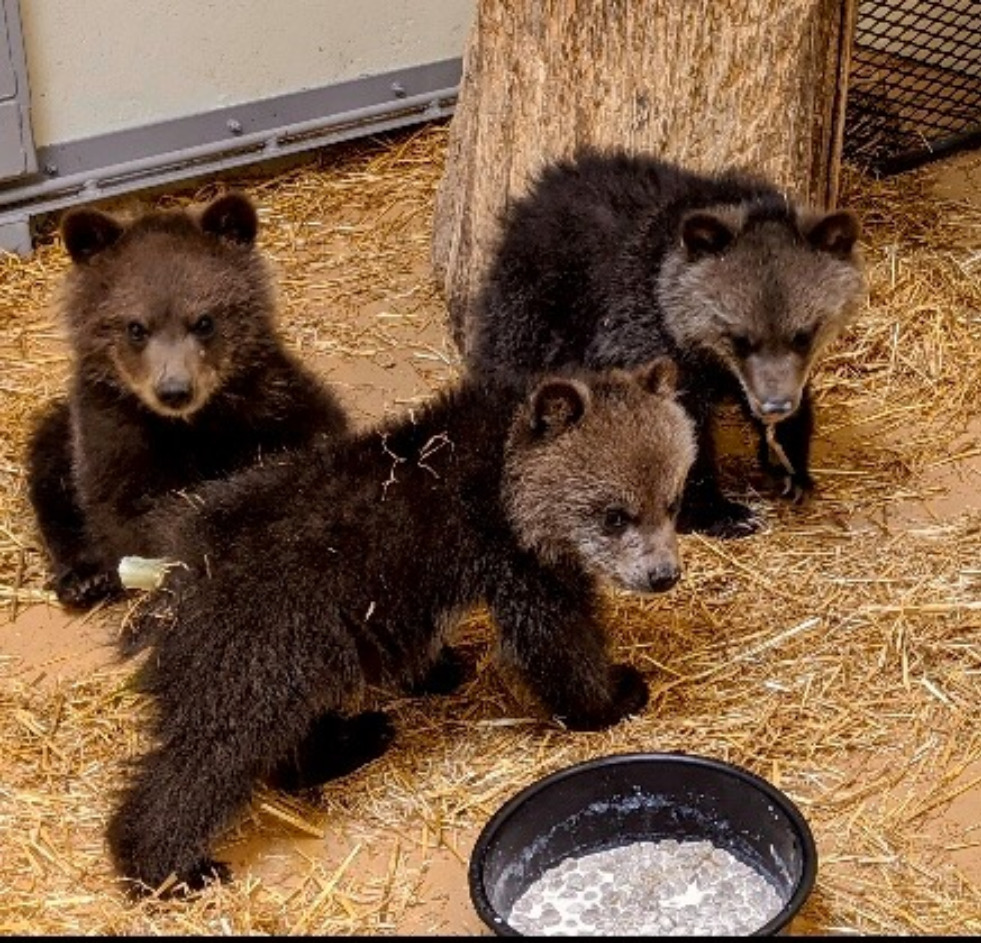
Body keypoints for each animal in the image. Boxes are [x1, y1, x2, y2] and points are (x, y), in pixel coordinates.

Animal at [25, 192, 350, 611]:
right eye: (135, 327)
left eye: (204, 321)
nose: (175, 390)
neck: (191, 425)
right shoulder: (111, 427)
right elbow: (124, 505)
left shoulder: (270, 396)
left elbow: (313, 433)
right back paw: (84, 578)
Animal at [104, 358, 696, 894]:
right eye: (615, 514)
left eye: (672, 500)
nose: (662, 575)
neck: (506, 478)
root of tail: (181, 567)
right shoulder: (514, 560)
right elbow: (557, 641)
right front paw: (615, 695)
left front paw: (442, 669)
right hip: (262, 647)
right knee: (211, 752)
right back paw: (168, 865)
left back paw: (355, 737)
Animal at [458, 147, 867, 539]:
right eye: (739, 336)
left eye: (805, 333)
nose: (775, 405)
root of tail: (537, 192)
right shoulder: (646, 344)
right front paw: (720, 512)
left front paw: (791, 467)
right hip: (536, 310)